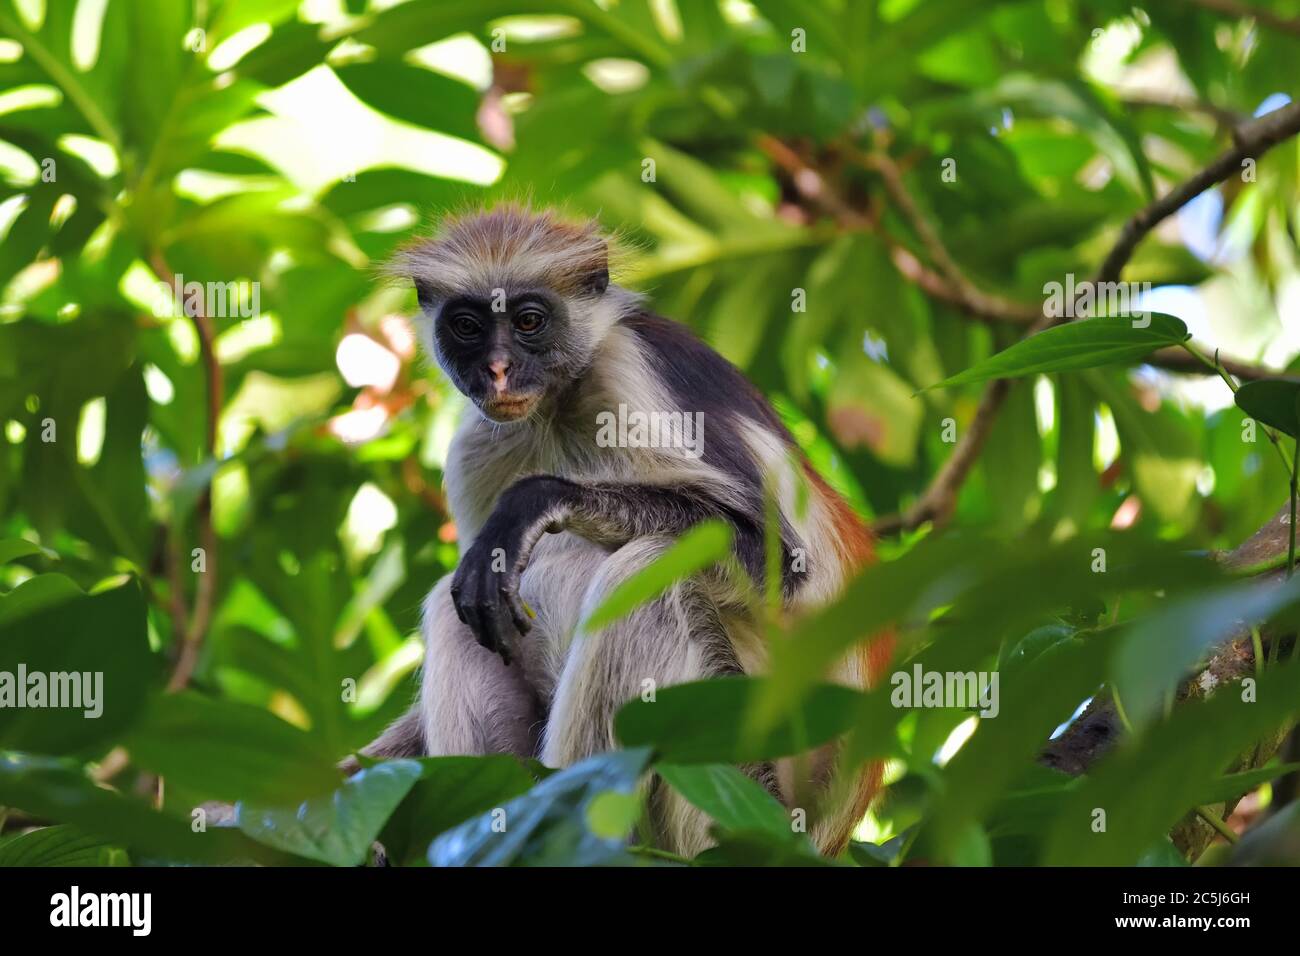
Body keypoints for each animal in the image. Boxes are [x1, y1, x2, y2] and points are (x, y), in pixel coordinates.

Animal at [357, 205, 891, 858]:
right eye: (467, 327)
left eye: (529, 321)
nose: (498, 370)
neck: (557, 408)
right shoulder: (480, 445)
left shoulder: (632, 366)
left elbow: (785, 565)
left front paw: (540, 500)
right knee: (458, 605)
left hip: (739, 800)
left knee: (646, 566)